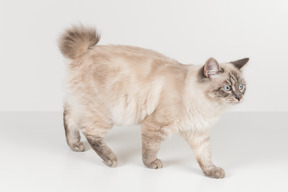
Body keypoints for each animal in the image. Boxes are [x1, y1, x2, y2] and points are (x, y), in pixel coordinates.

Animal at [58, 25, 248, 178]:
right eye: (227, 88)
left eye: (241, 87)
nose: (239, 97)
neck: (208, 106)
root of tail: (86, 51)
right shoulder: (155, 126)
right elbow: (150, 150)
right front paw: (151, 165)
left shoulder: (198, 133)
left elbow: (205, 157)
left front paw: (212, 172)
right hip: (104, 114)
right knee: (90, 131)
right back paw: (110, 159)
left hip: (82, 104)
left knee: (69, 117)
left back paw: (75, 145)